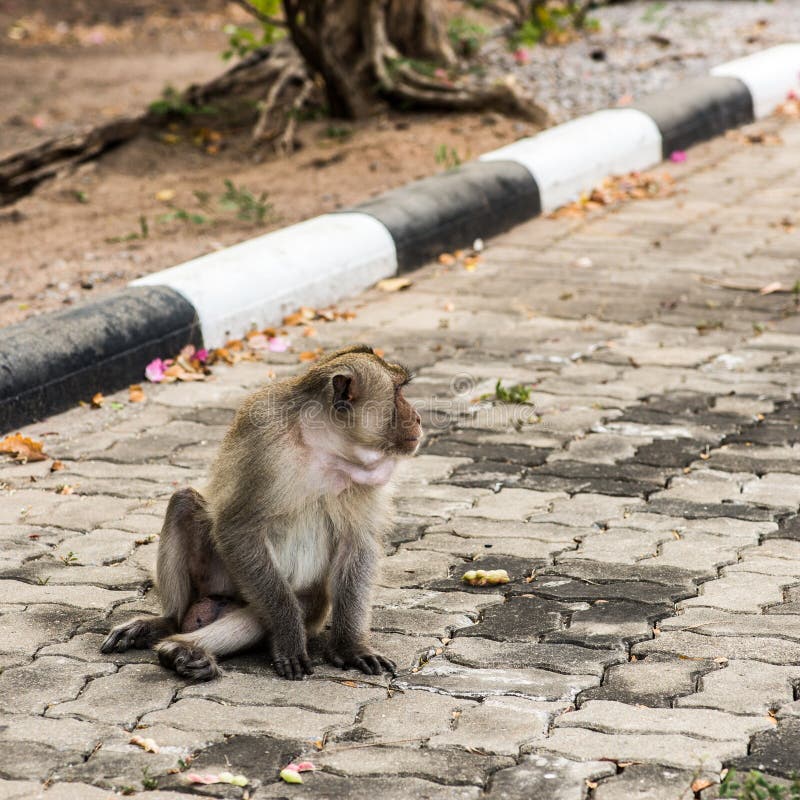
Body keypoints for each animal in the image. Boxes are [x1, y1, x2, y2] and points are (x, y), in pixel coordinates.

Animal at [101, 344, 422, 681]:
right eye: (397, 391)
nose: (418, 417)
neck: (323, 448)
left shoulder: (368, 477)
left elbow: (356, 543)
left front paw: (350, 647)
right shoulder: (264, 445)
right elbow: (237, 529)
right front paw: (289, 639)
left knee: (282, 607)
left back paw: (184, 651)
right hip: (219, 578)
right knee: (183, 503)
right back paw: (171, 628)